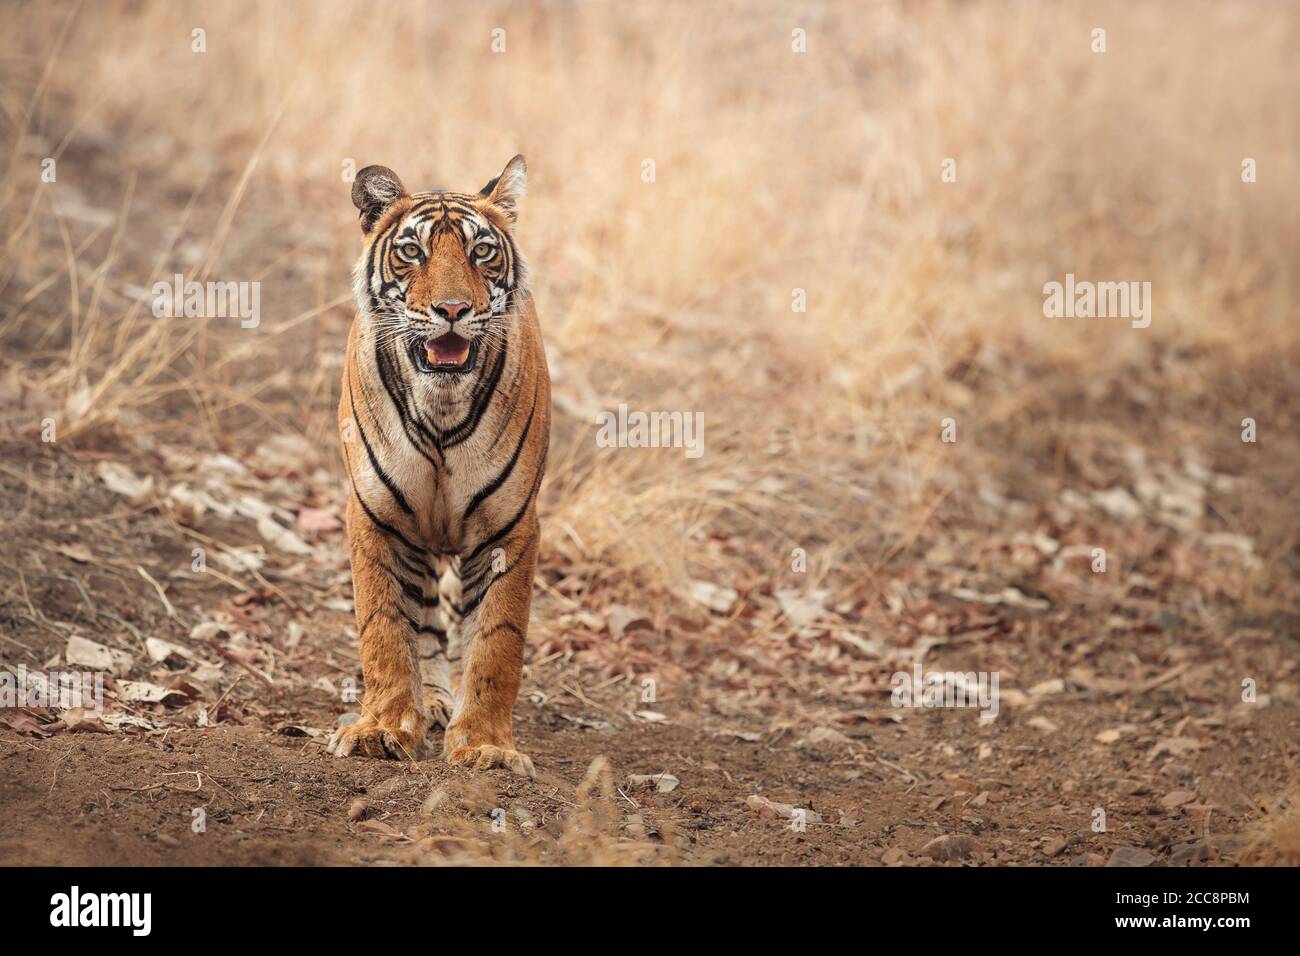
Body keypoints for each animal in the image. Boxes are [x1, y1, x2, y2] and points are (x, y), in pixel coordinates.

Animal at [326, 155, 550, 778]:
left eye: (482, 252)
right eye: (412, 251)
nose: (452, 311)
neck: (442, 407)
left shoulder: (509, 530)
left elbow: (497, 643)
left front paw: (487, 746)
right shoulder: (375, 517)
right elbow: (384, 629)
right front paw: (381, 729)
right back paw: (427, 702)